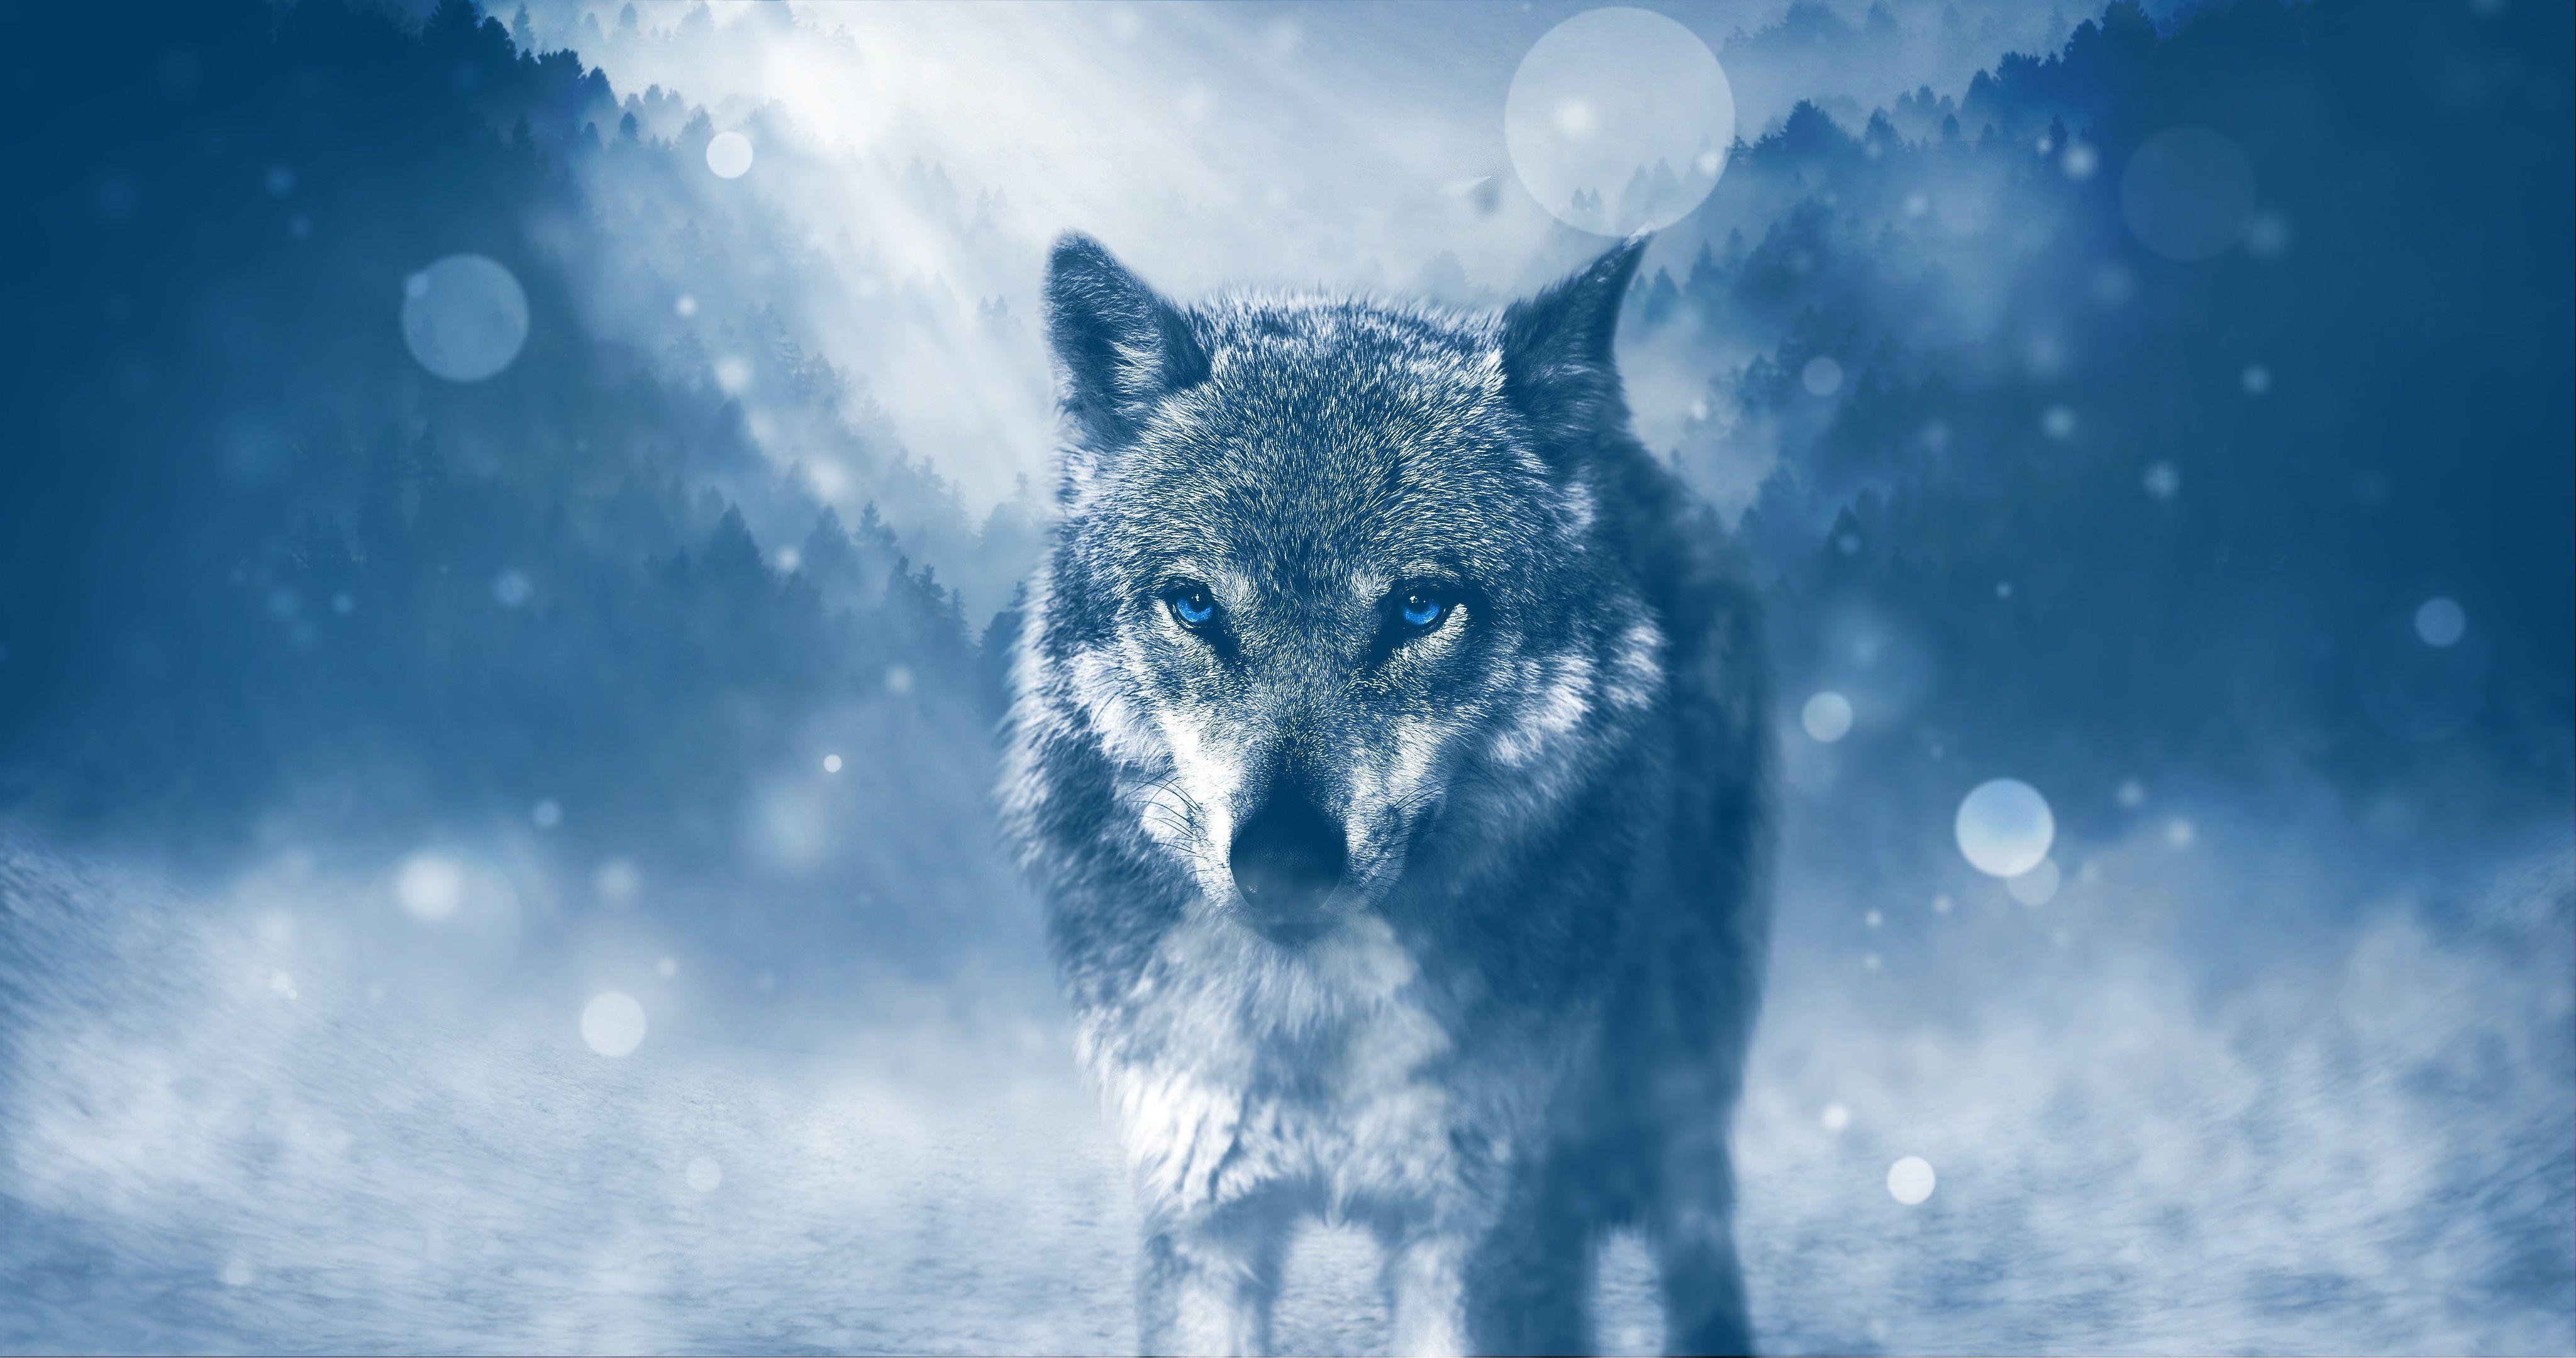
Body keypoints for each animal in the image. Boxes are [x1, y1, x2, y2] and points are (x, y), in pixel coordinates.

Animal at [999, 232, 1772, 1357]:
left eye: (1418, 607)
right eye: (1195, 605)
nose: (1282, 863)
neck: (1313, 1024)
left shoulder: (1480, 1230)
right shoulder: (1203, 1216)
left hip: (1679, 1067)